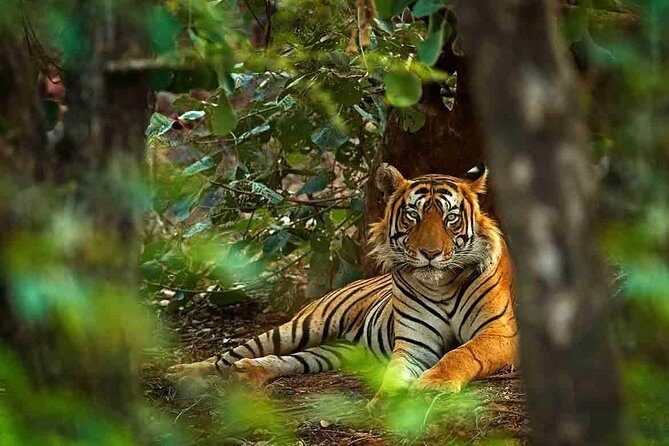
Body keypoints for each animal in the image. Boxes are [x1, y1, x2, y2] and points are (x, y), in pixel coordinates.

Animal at [167, 163, 518, 404]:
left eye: (450, 218)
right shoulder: (414, 343)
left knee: (287, 360)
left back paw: (248, 373)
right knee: (228, 355)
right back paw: (180, 373)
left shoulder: (500, 333)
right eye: (413, 216)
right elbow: (396, 371)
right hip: (300, 327)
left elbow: (461, 353)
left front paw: (433, 385)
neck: (442, 284)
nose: (429, 254)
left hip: (335, 351)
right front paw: (387, 401)